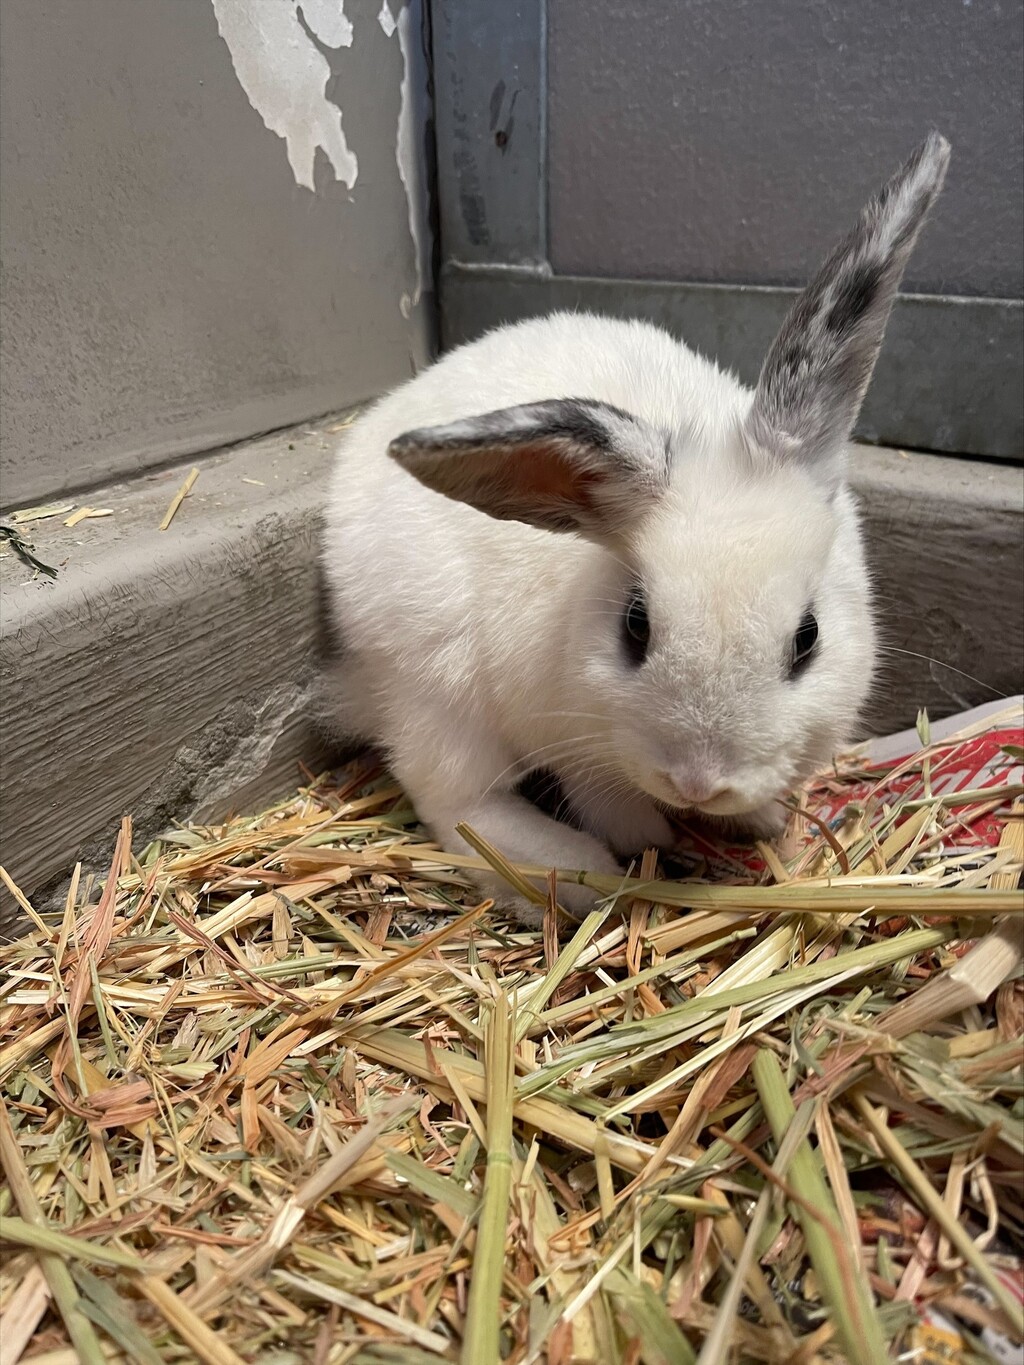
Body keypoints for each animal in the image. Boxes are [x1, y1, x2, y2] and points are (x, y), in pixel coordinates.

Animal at [321, 132, 950, 926]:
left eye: (808, 639)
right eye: (636, 625)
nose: (698, 780)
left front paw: (760, 817)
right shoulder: (571, 735)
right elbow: (598, 794)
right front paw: (645, 836)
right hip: (433, 687)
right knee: (458, 801)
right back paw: (572, 871)